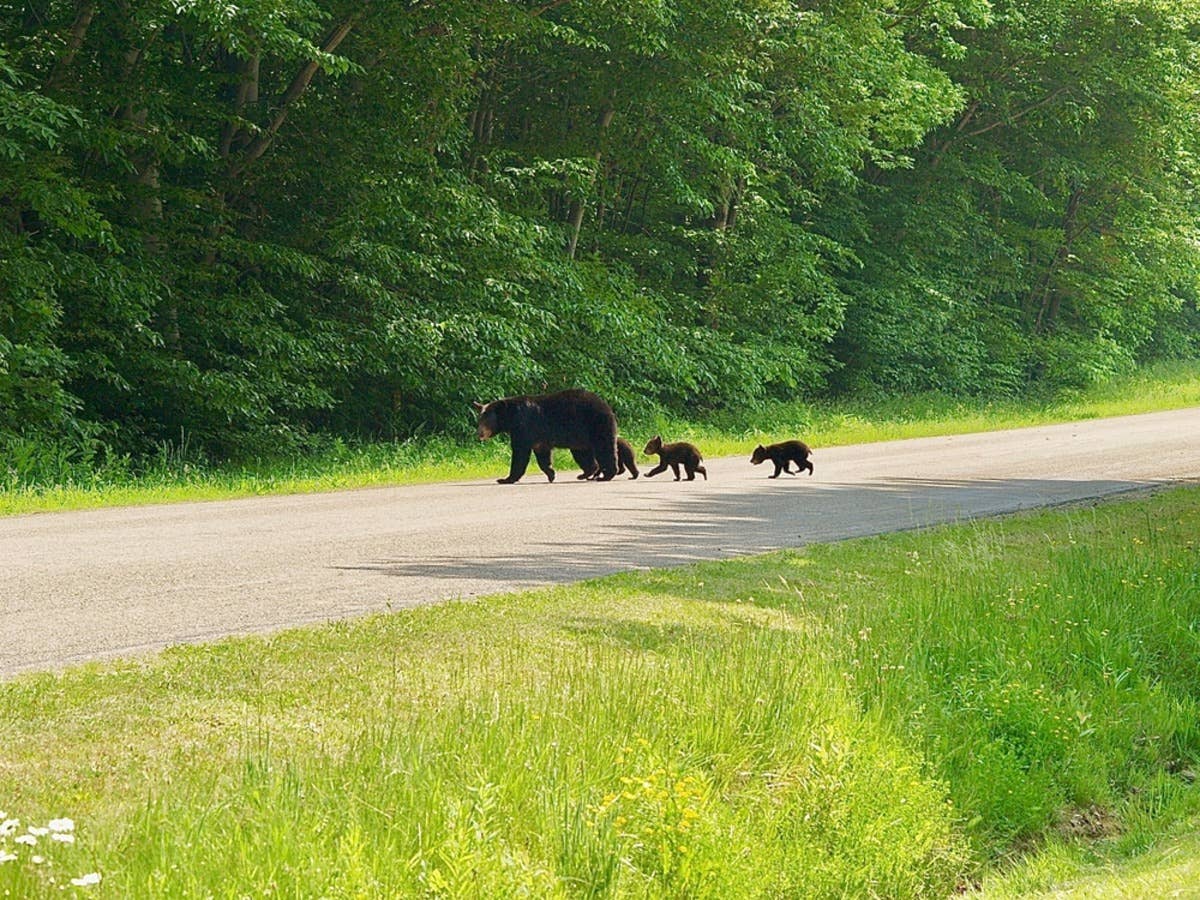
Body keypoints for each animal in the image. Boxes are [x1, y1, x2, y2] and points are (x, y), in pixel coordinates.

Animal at [473, 388, 619, 484]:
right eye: (479, 420)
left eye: (487, 421)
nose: (479, 434)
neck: (512, 417)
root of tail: (606, 405)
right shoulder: (539, 439)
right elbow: (542, 455)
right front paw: (551, 474)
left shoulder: (524, 427)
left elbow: (520, 453)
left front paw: (506, 479)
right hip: (580, 437)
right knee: (583, 454)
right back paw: (586, 474)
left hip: (596, 424)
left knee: (604, 448)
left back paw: (606, 475)